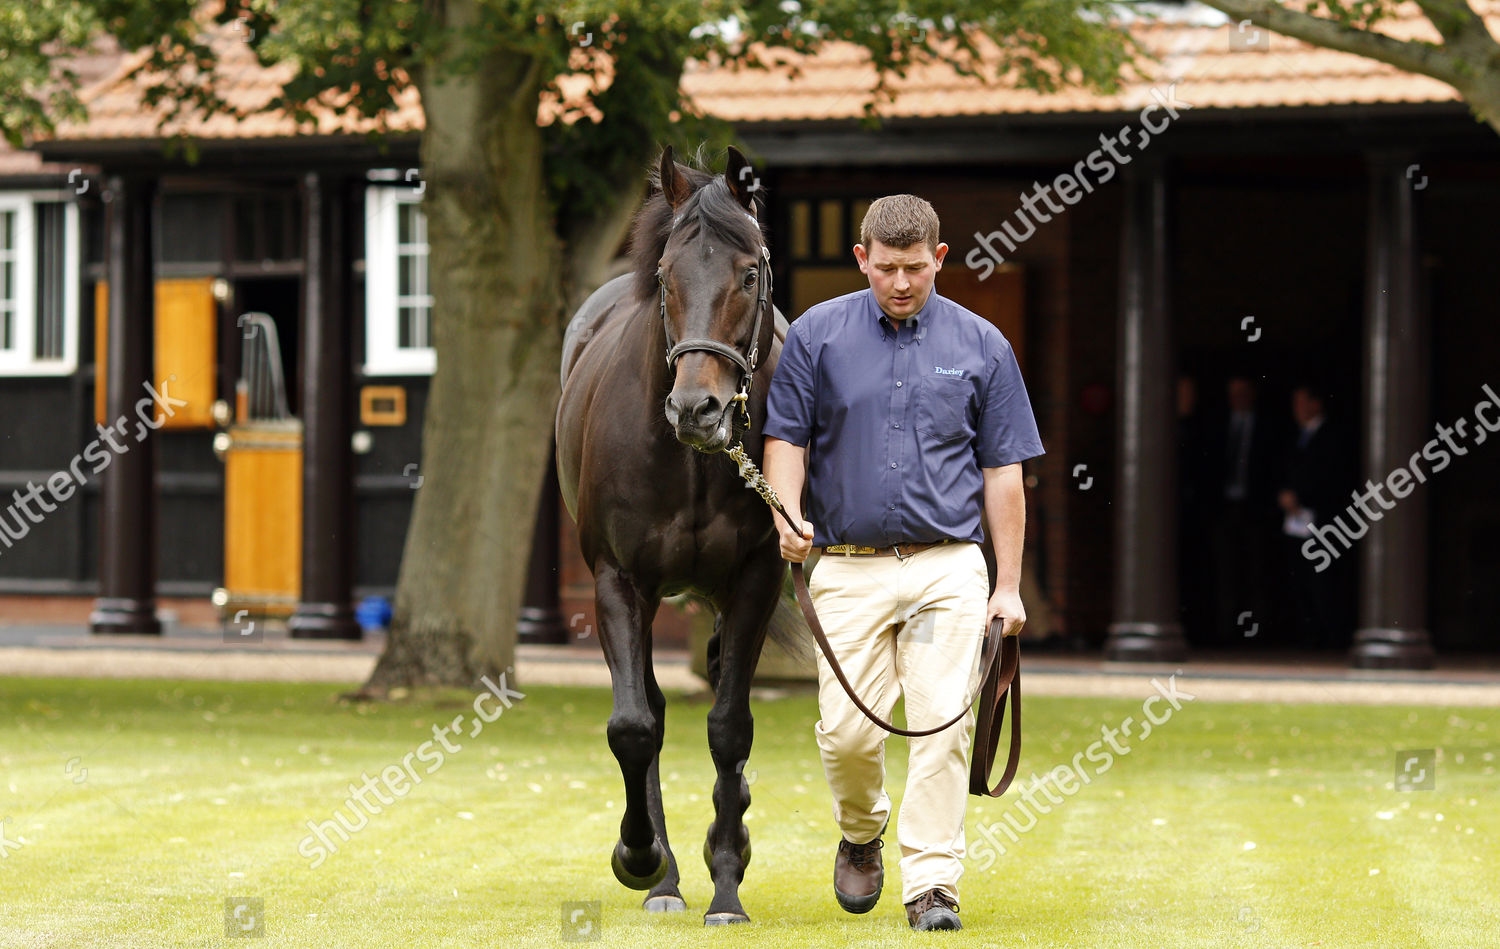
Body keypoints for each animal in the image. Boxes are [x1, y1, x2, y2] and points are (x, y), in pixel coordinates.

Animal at [555, 145, 800, 925]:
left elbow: (729, 726)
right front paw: (639, 859)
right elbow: (635, 725)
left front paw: (726, 884)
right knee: (653, 712)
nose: (697, 408)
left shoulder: (755, 578)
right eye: (666, 275)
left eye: (749, 273)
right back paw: (662, 878)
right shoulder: (617, 581)